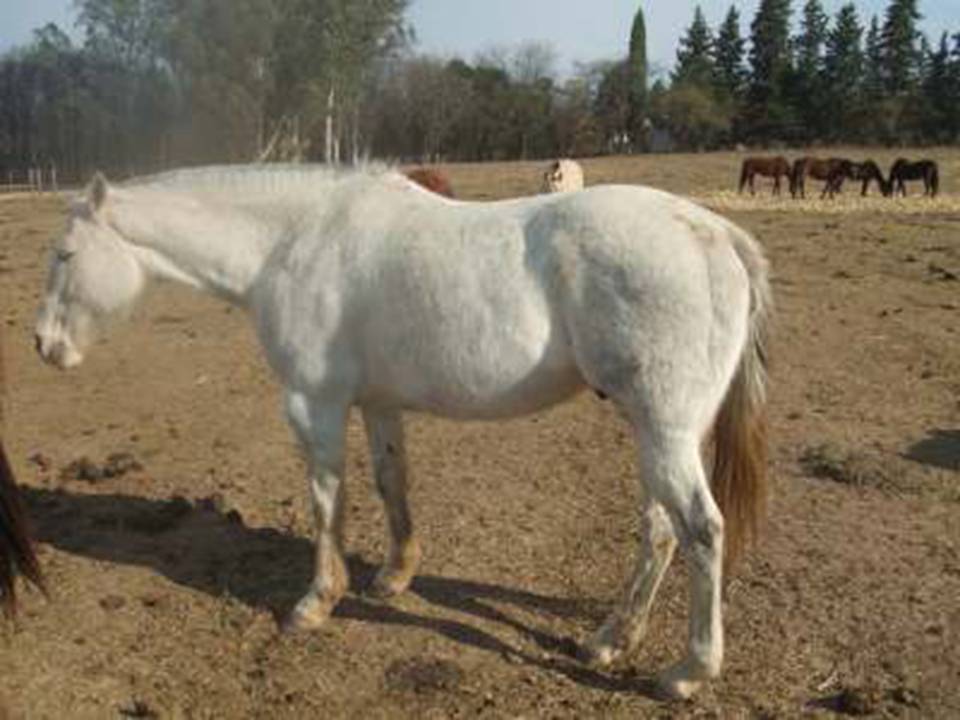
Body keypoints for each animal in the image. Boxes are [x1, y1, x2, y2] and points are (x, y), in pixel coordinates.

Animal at [35, 165, 771, 700]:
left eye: (66, 255)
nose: (43, 344)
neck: (290, 243)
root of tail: (713, 234)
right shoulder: (379, 405)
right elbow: (392, 481)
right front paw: (394, 575)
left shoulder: (314, 404)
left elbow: (326, 499)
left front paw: (316, 602)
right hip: (656, 430)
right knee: (661, 530)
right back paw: (611, 638)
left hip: (664, 429)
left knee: (701, 529)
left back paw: (687, 671)